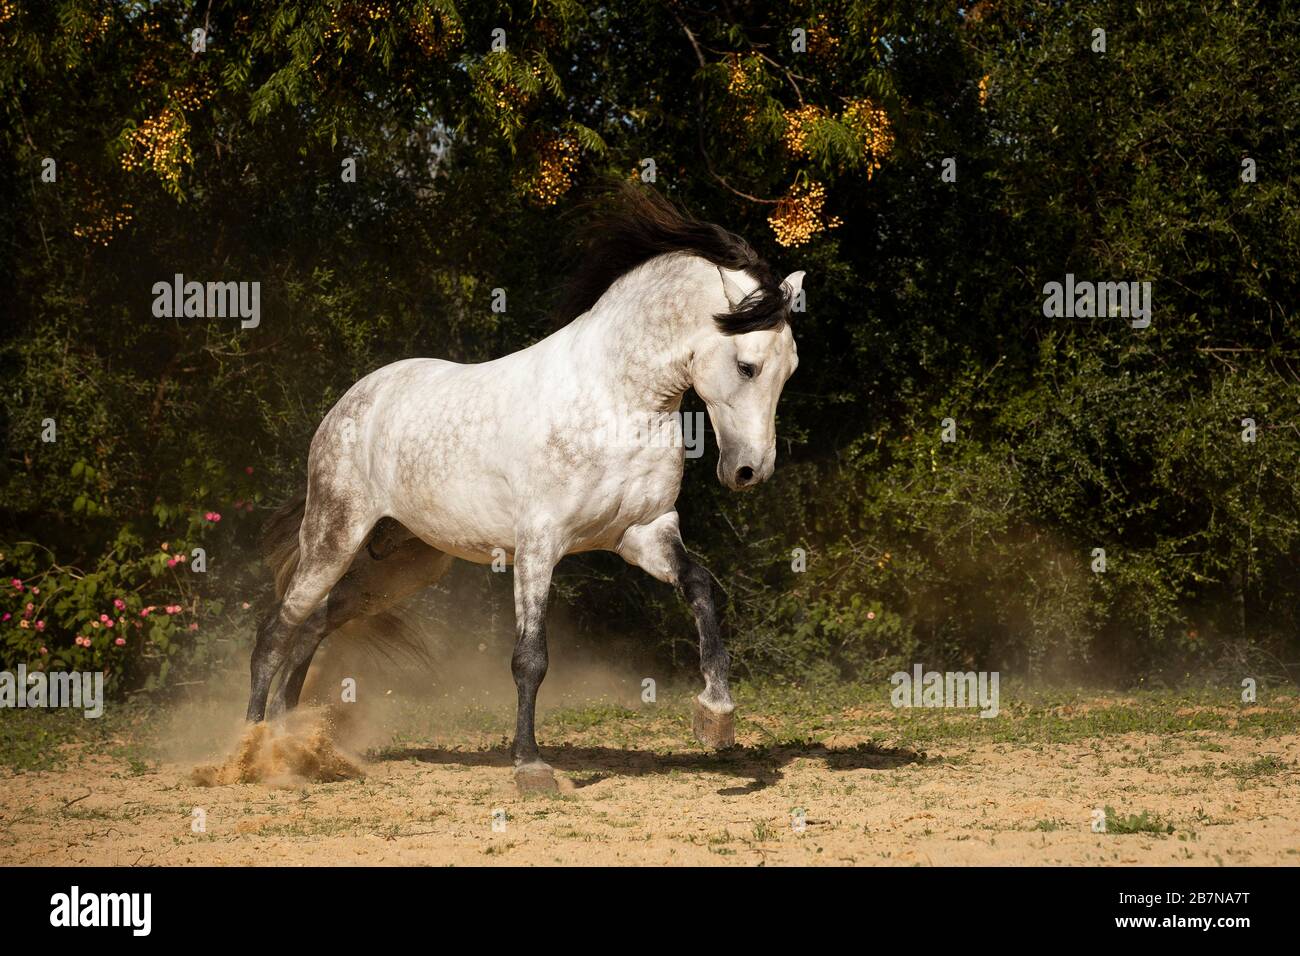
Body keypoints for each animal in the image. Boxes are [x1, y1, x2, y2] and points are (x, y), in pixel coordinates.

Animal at [249, 186, 802, 790]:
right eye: (747, 367)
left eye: (790, 370)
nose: (750, 472)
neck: (614, 400)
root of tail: (348, 404)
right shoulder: (539, 542)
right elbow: (529, 657)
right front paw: (531, 766)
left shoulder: (643, 532)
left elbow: (700, 588)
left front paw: (716, 715)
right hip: (335, 535)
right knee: (276, 629)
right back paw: (249, 750)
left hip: (401, 565)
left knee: (311, 626)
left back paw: (295, 743)